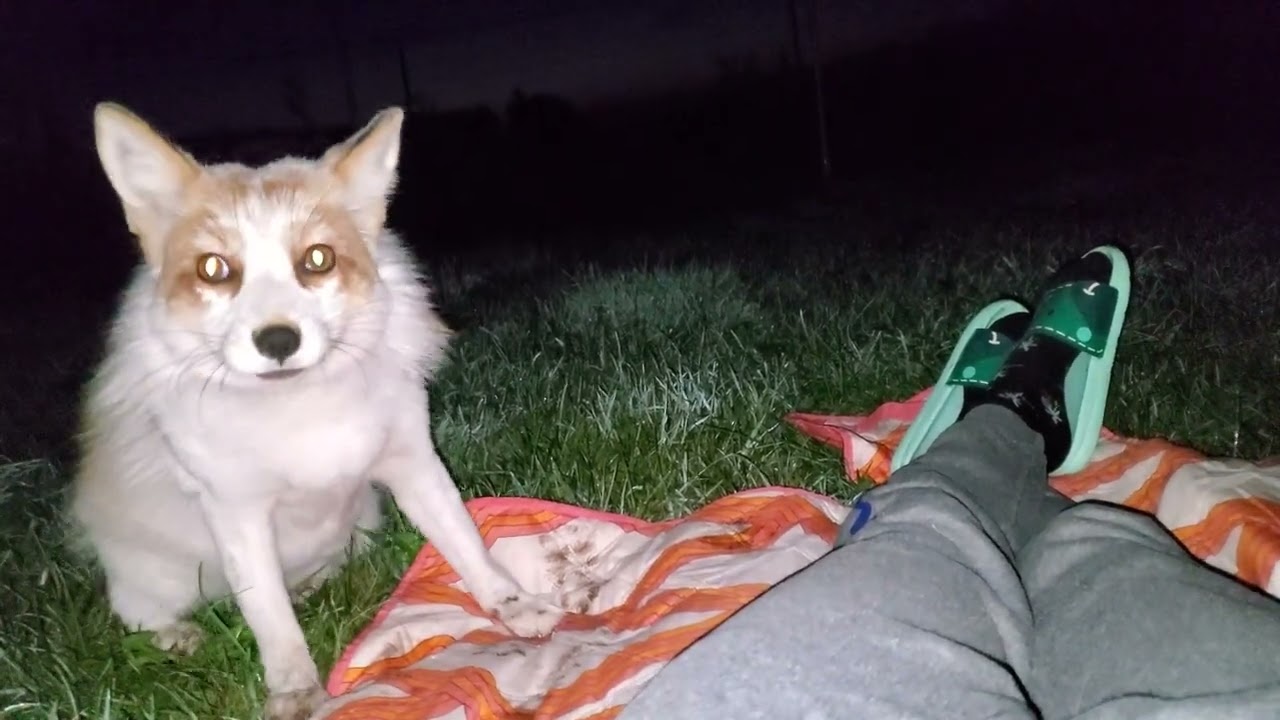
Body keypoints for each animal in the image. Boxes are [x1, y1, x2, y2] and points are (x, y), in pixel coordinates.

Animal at [68, 103, 563, 720]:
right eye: (213, 269)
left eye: (317, 259)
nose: (278, 341)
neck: (299, 406)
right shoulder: (237, 511)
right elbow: (269, 616)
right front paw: (296, 691)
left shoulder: (414, 462)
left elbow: (465, 541)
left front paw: (510, 604)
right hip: (157, 575)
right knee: (137, 612)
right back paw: (175, 634)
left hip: (363, 523)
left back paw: (309, 585)